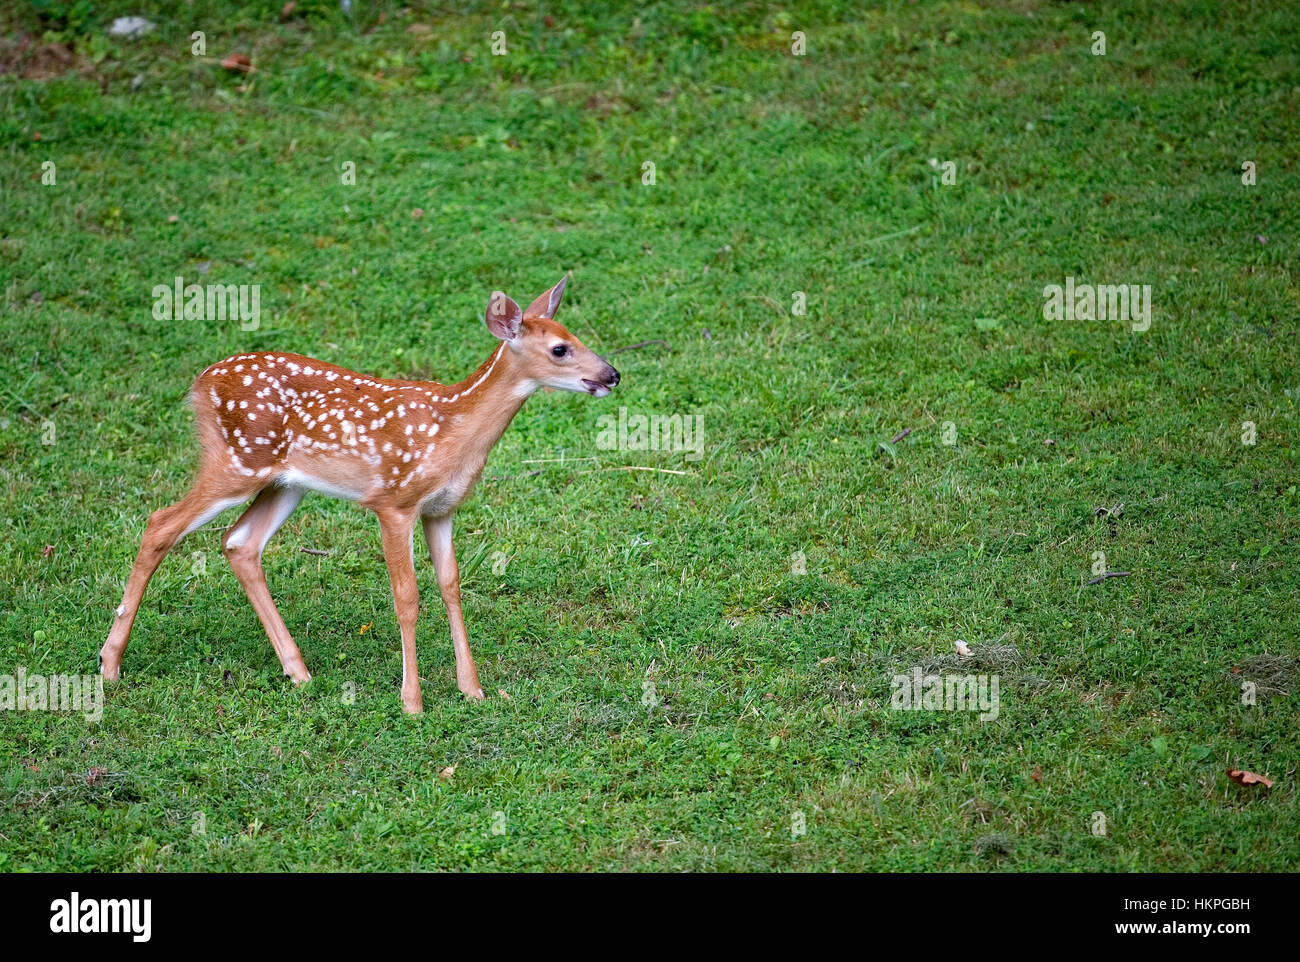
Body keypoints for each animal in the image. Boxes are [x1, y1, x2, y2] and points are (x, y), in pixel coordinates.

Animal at [99, 276, 620, 713]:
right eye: (559, 348)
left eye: (575, 335)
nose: (612, 374)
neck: (453, 430)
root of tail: (201, 382)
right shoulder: (394, 501)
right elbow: (407, 596)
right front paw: (412, 703)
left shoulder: (442, 509)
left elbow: (451, 587)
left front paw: (473, 690)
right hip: (236, 462)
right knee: (160, 523)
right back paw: (110, 666)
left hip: (284, 483)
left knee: (240, 543)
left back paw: (299, 672)